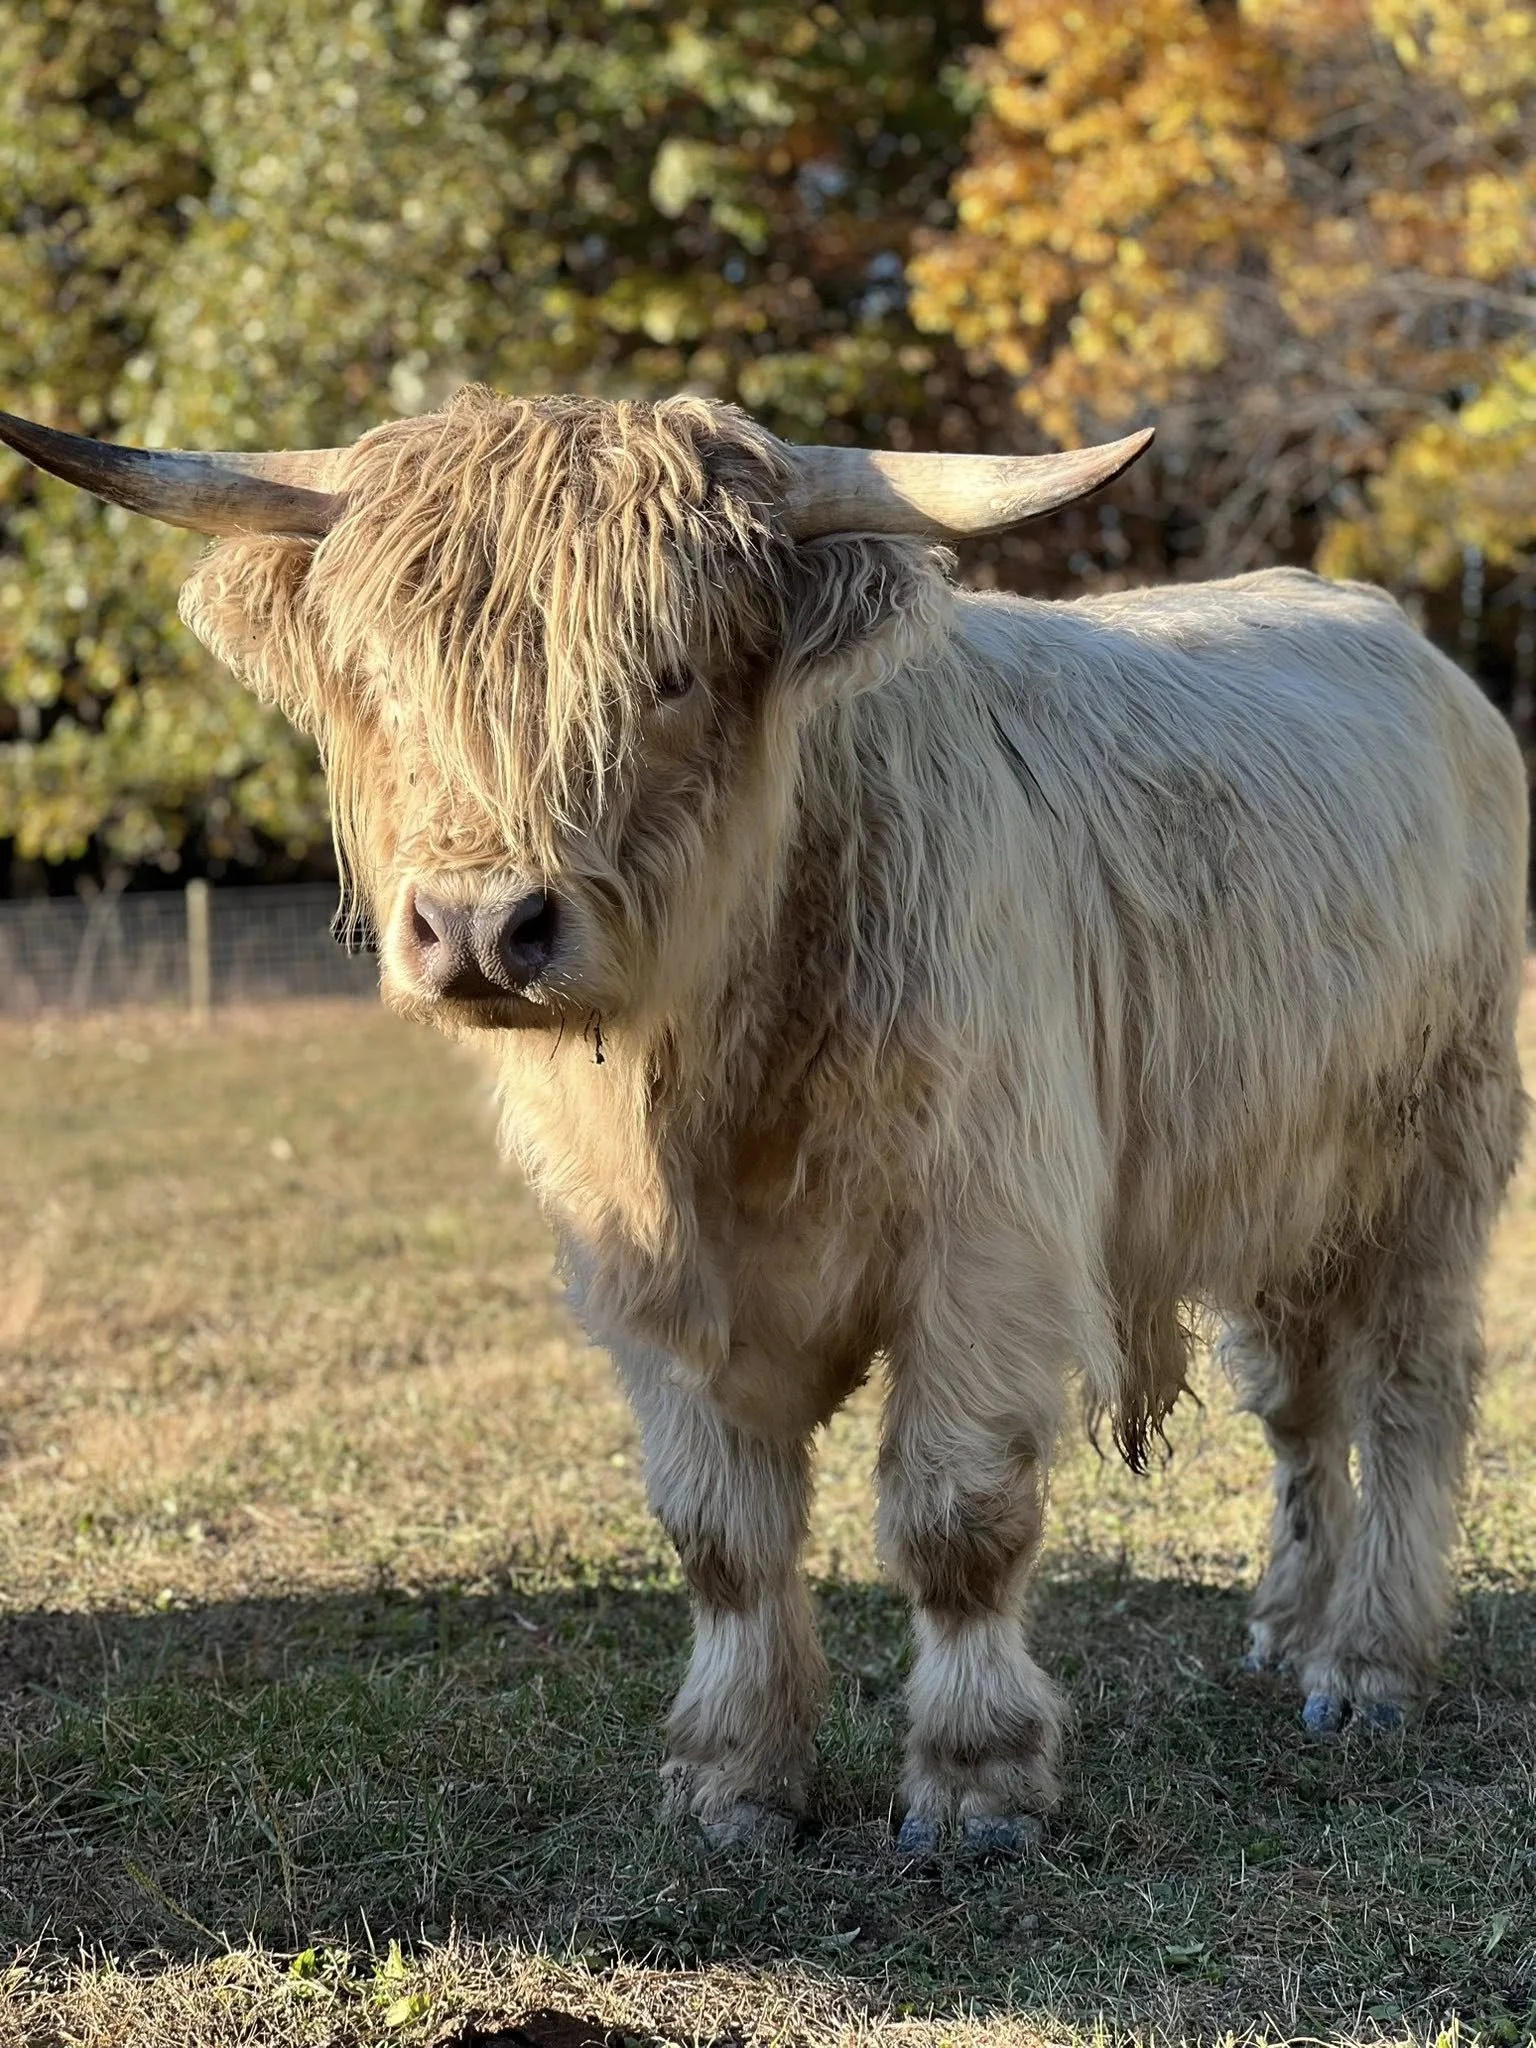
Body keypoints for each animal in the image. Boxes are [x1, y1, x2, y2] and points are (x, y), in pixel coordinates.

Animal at [1, 389, 1525, 1854]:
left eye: (670, 674)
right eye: (379, 678)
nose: (483, 927)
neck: (720, 1089)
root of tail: (1411, 646)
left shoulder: (989, 1248)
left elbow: (958, 1517)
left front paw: (976, 1786)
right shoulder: (651, 1284)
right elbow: (720, 1535)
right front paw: (733, 1778)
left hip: (1437, 1154)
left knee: (1409, 1390)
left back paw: (1368, 1667)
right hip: (1282, 1178)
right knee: (1300, 1403)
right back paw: (1286, 1629)